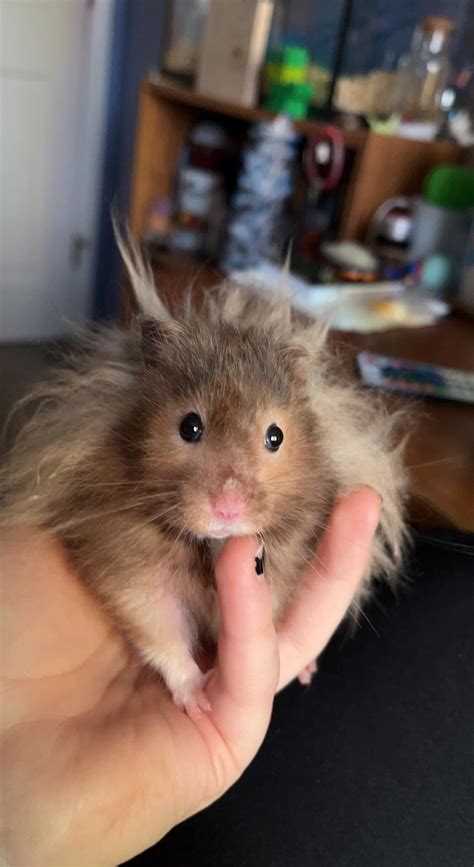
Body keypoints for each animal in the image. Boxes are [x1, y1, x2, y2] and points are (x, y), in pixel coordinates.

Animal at [0, 240, 408, 716]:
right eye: (189, 426)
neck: (206, 546)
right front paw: (199, 700)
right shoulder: (129, 569)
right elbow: (162, 636)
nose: (227, 510)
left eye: (275, 436)